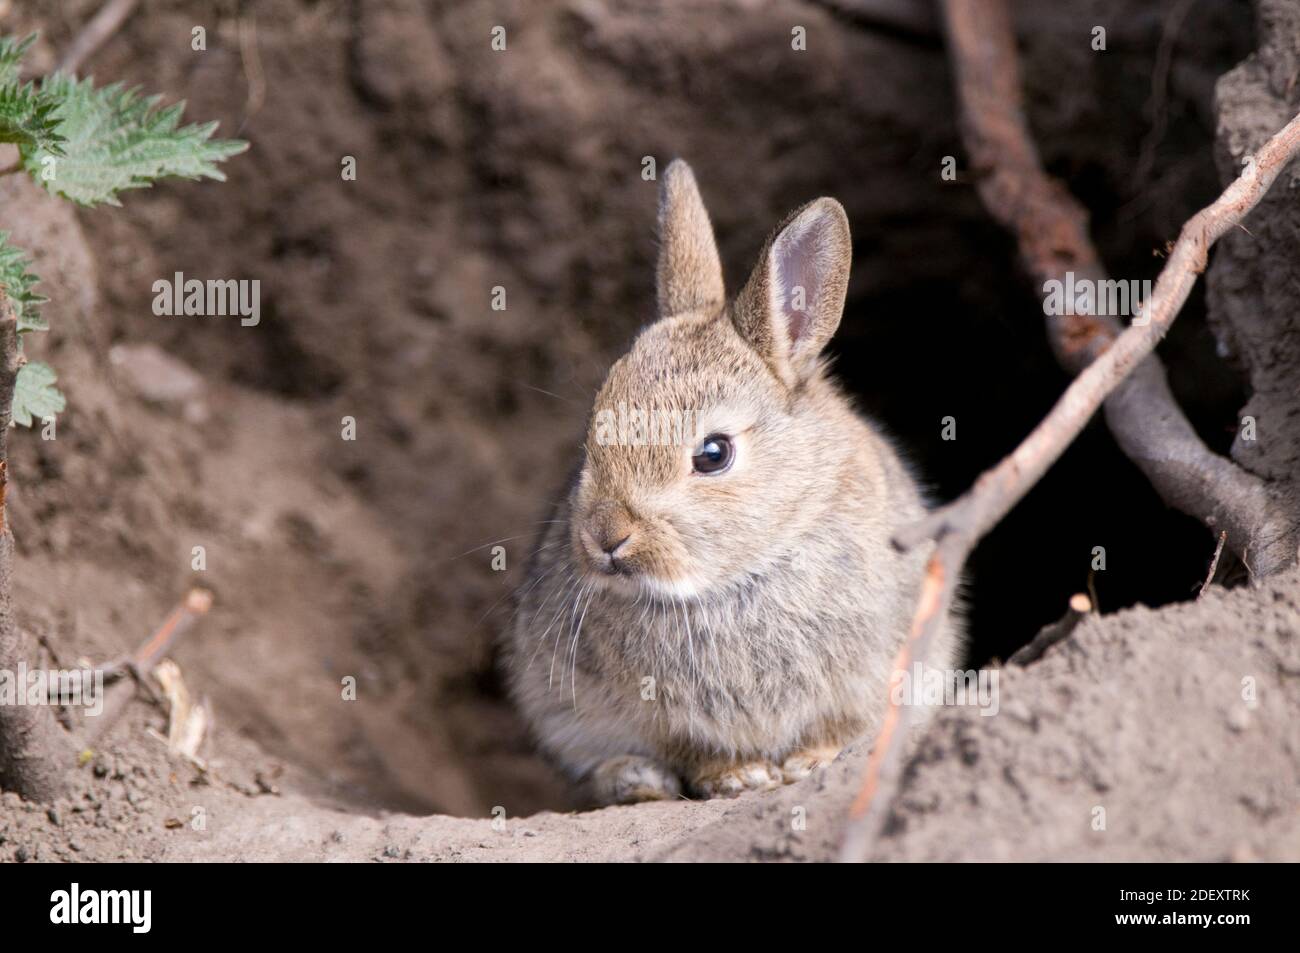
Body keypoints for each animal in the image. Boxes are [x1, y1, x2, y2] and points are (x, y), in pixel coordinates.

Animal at [503, 159, 963, 805]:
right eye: (593, 428)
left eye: (713, 454)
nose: (605, 537)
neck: (734, 577)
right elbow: (693, 749)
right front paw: (737, 776)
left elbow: (844, 724)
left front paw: (808, 763)